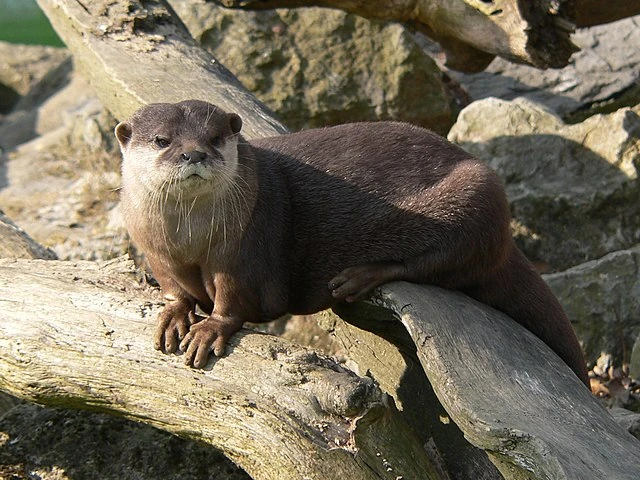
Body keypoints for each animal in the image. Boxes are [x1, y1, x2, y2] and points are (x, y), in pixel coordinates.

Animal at [115, 100, 589, 387]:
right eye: (161, 140)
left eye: (215, 138)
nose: (194, 153)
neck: (190, 241)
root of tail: (508, 242)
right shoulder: (156, 252)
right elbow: (173, 287)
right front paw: (175, 313)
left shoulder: (245, 250)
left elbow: (235, 299)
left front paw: (210, 327)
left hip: (476, 197)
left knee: (440, 262)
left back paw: (357, 277)